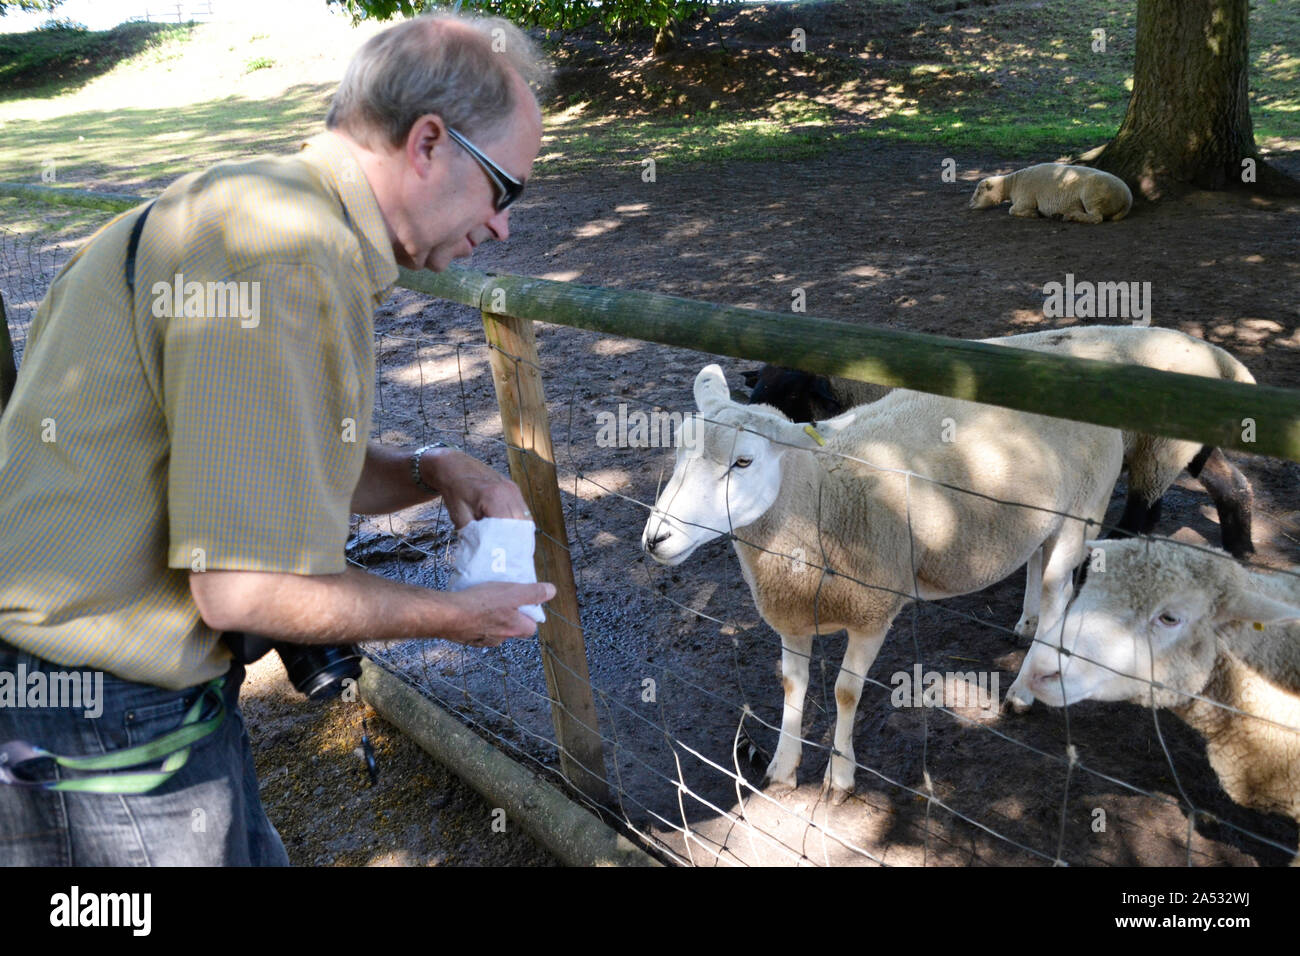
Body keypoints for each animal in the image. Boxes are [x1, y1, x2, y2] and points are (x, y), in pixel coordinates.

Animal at [641, 364, 1124, 801]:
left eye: (743, 462)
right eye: (679, 451)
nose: (655, 538)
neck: (818, 502)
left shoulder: (870, 612)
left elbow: (845, 692)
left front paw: (839, 779)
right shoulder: (792, 614)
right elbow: (793, 686)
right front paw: (782, 767)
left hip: (1082, 509)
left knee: (1060, 593)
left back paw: (1024, 687)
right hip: (1040, 519)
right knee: (1036, 562)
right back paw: (1027, 620)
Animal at [743, 326, 1257, 560]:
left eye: (791, 394)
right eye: (758, 387)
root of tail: (1221, 359)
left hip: (1159, 447)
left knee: (1140, 515)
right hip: (1187, 445)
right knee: (1232, 485)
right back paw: (1242, 548)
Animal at [969, 163, 1133, 223]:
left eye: (979, 192)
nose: (970, 204)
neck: (1012, 184)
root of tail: (1127, 198)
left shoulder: (1026, 199)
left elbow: (1012, 210)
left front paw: (1034, 214)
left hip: (1093, 196)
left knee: (1096, 218)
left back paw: (1071, 216)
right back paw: (1060, 215)